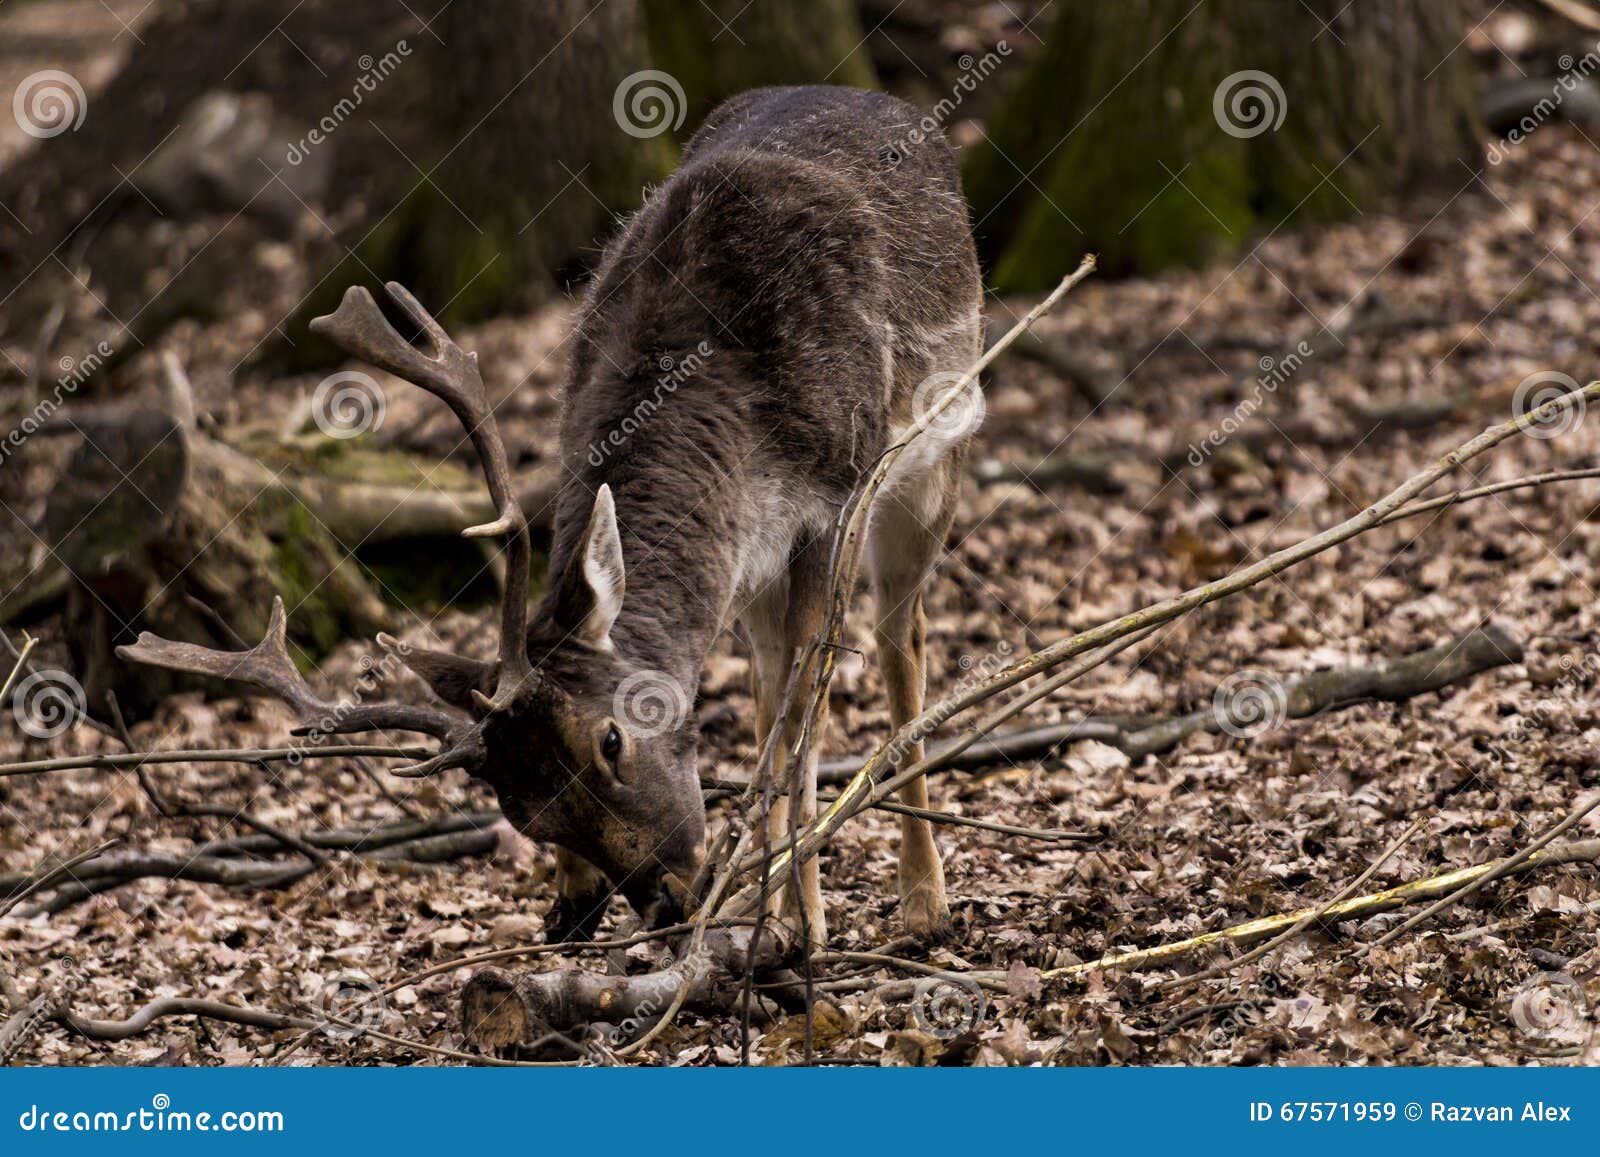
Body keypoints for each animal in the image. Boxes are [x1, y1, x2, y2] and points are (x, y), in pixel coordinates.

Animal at [118, 85, 982, 947]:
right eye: (527, 814)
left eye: (612, 738)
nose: (669, 901)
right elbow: (776, 701)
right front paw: (583, 899)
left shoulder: (838, 498)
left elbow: (807, 715)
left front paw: (802, 923)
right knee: (775, 678)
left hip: (937, 453)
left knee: (898, 643)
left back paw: (922, 900)